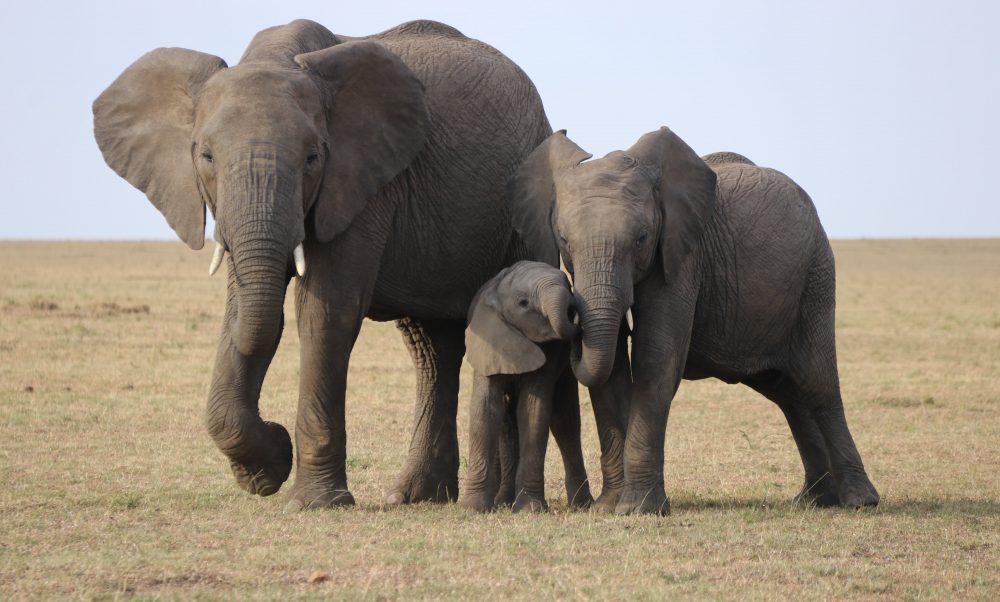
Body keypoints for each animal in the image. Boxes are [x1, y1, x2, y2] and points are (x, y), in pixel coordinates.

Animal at [92, 19, 552, 510]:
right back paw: (415, 497)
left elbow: (325, 311)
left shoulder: (362, 182)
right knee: (432, 348)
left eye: (313, 157)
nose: (274, 436)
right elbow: (246, 312)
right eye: (206, 156)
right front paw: (264, 472)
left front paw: (310, 500)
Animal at [460, 261, 593, 513]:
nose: (574, 310)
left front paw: (530, 509)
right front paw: (475, 509)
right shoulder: (488, 342)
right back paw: (503, 501)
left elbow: (533, 412)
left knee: (565, 421)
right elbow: (485, 410)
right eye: (523, 303)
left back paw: (582, 505)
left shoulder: (551, 353)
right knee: (507, 423)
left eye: (567, 283)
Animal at [509, 127, 880, 514]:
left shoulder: (683, 257)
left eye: (642, 239)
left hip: (816, 275)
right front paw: (608, 508)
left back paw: (859, 501)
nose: (570, 317)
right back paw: (813, 500)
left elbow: (655, 358)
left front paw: (638, 509)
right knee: (788, 393)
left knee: (817, 382)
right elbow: (611, 370)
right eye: (564, 240)